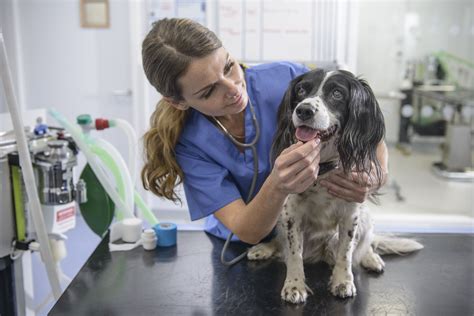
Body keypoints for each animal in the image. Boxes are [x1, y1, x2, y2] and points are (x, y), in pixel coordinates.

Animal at [248, 68, 422, 304]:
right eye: (301, 90)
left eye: (337, 94)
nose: (304, 110)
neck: (323, 167)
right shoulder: (291, 213)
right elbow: (294, 254)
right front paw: (294, 285)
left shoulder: (350, 214)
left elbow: (345, 253)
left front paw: (343, 281)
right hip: (279, 217)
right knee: (281, 243)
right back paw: (264, 248)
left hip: (365, 217)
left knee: (366, 244)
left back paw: (371, 258)